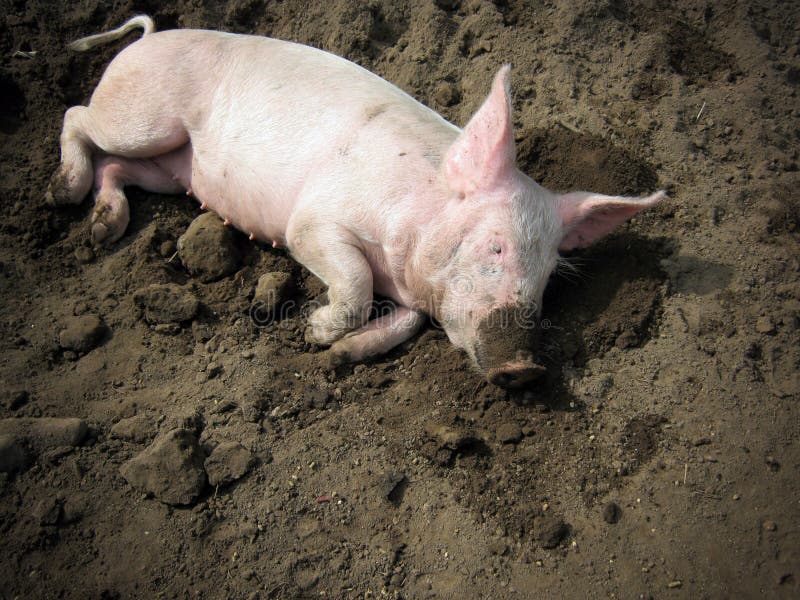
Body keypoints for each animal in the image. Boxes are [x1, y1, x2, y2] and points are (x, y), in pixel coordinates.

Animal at [47, 15, 664, 388]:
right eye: (494, 247)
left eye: (550, 275)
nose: (525, 367)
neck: (405, 263)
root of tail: (147, 37)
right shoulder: (313, 222)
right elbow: (354, 281)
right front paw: (313, 330)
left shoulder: (413, 296)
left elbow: (406, 322)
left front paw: (336, 357)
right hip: (144, 119)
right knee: (78, 117)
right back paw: (62, 194)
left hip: (172, 170)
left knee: (116, 167)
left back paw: (102, 228)